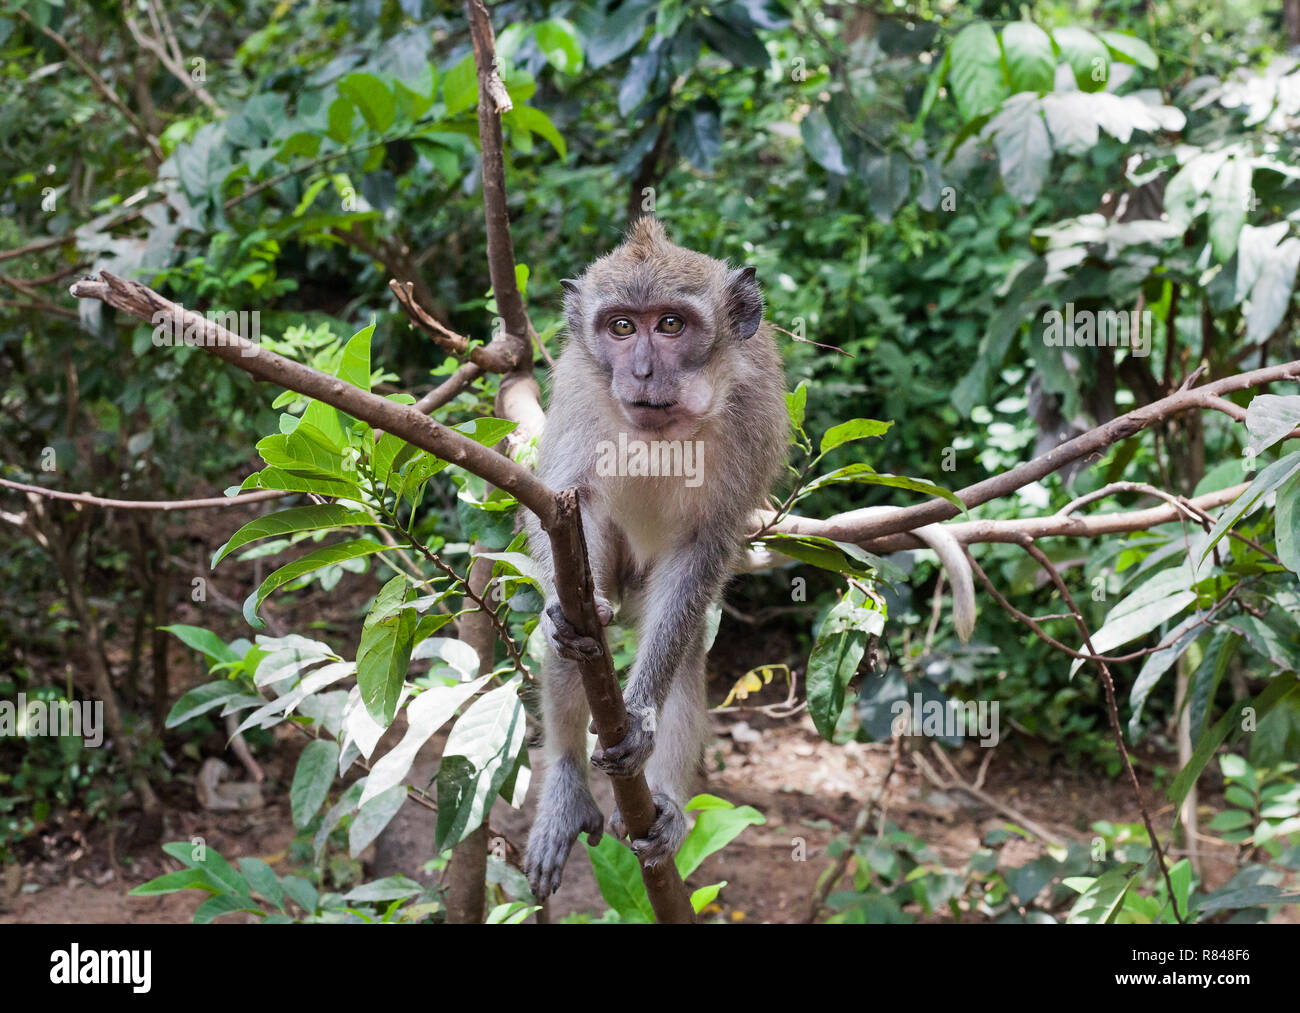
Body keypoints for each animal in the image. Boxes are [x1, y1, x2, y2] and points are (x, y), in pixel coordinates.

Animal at [522, 217, 789, 897]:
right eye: (621, 326)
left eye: (670, 324)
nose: (641, 372)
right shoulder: (578, 388)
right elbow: (565, 505)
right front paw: (570, 608)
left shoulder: (754, 414)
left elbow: (703, 547)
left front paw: (639, 720)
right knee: (569, 647)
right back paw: (567, 786)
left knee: (686, 652)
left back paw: (661, 806)